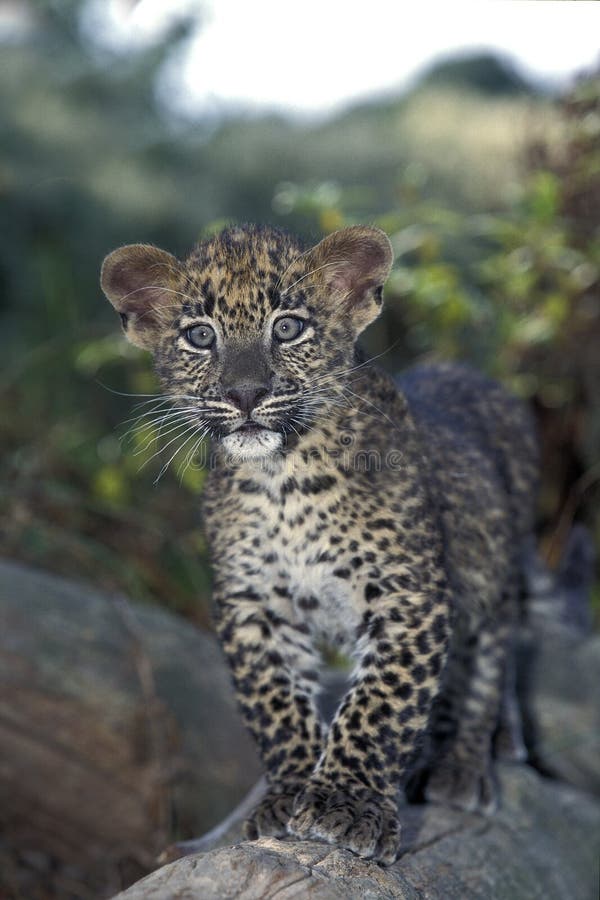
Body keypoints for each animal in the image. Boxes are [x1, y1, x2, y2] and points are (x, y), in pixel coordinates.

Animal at [100, 223, 538, 865]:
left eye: (287, 327)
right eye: (200, 336)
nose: (246, 394)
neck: (284, 482)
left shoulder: (410, 596)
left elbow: (379, 705)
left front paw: (347, 805)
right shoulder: (250, 604)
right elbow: (275, 703)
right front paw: (291, 794)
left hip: (499, 572)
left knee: (491, 657)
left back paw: (465, 760)